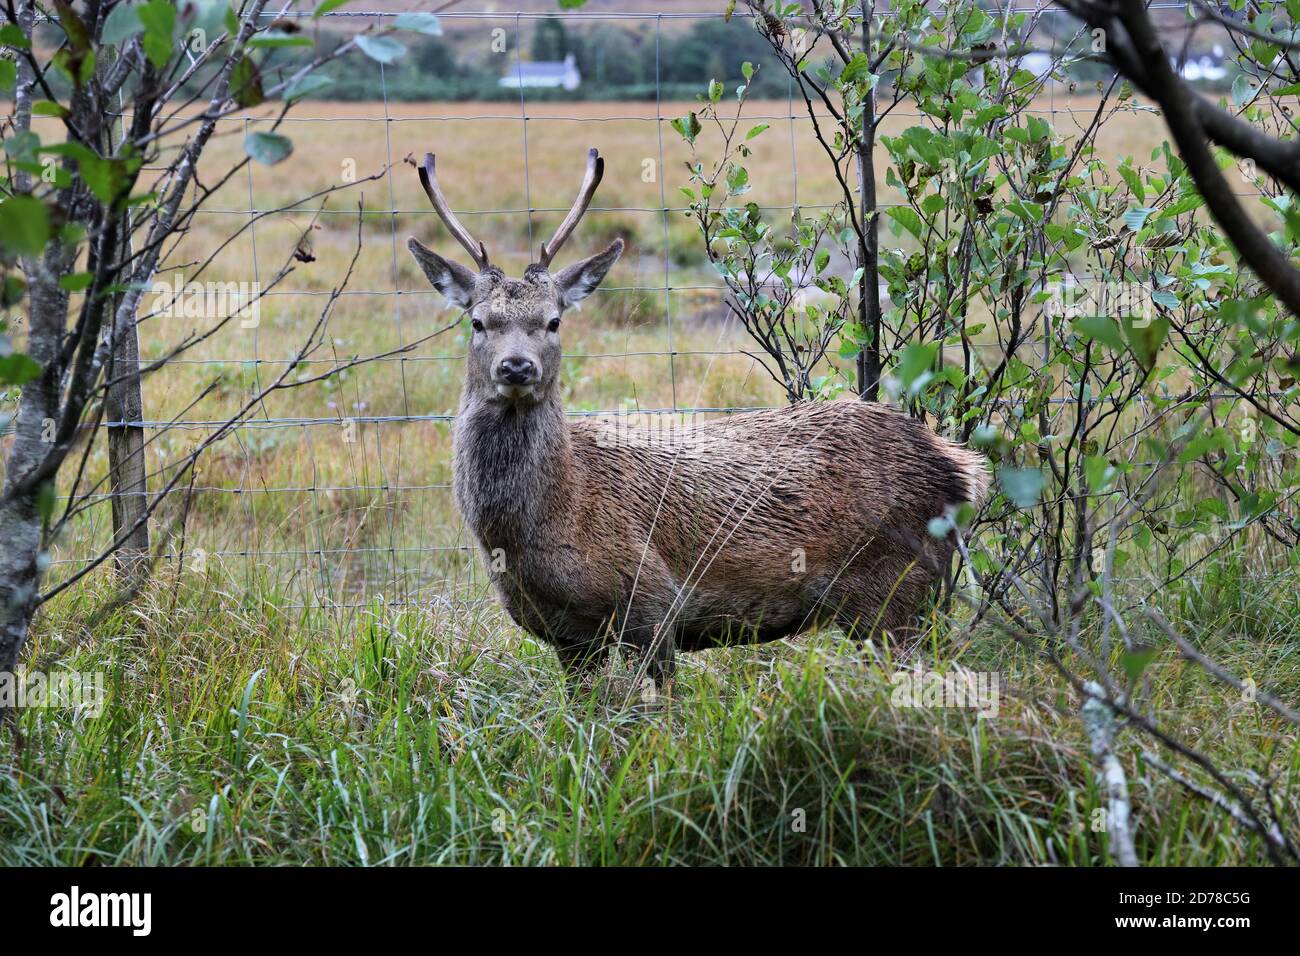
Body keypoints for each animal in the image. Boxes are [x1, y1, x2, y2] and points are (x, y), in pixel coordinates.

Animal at [407, 147, 989, 694]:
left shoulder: (652, 601)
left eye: (553, 321)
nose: (516, 366)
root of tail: (960, 468)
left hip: (890, 589)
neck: (552, 517)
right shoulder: (566, 637)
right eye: (477, 322)